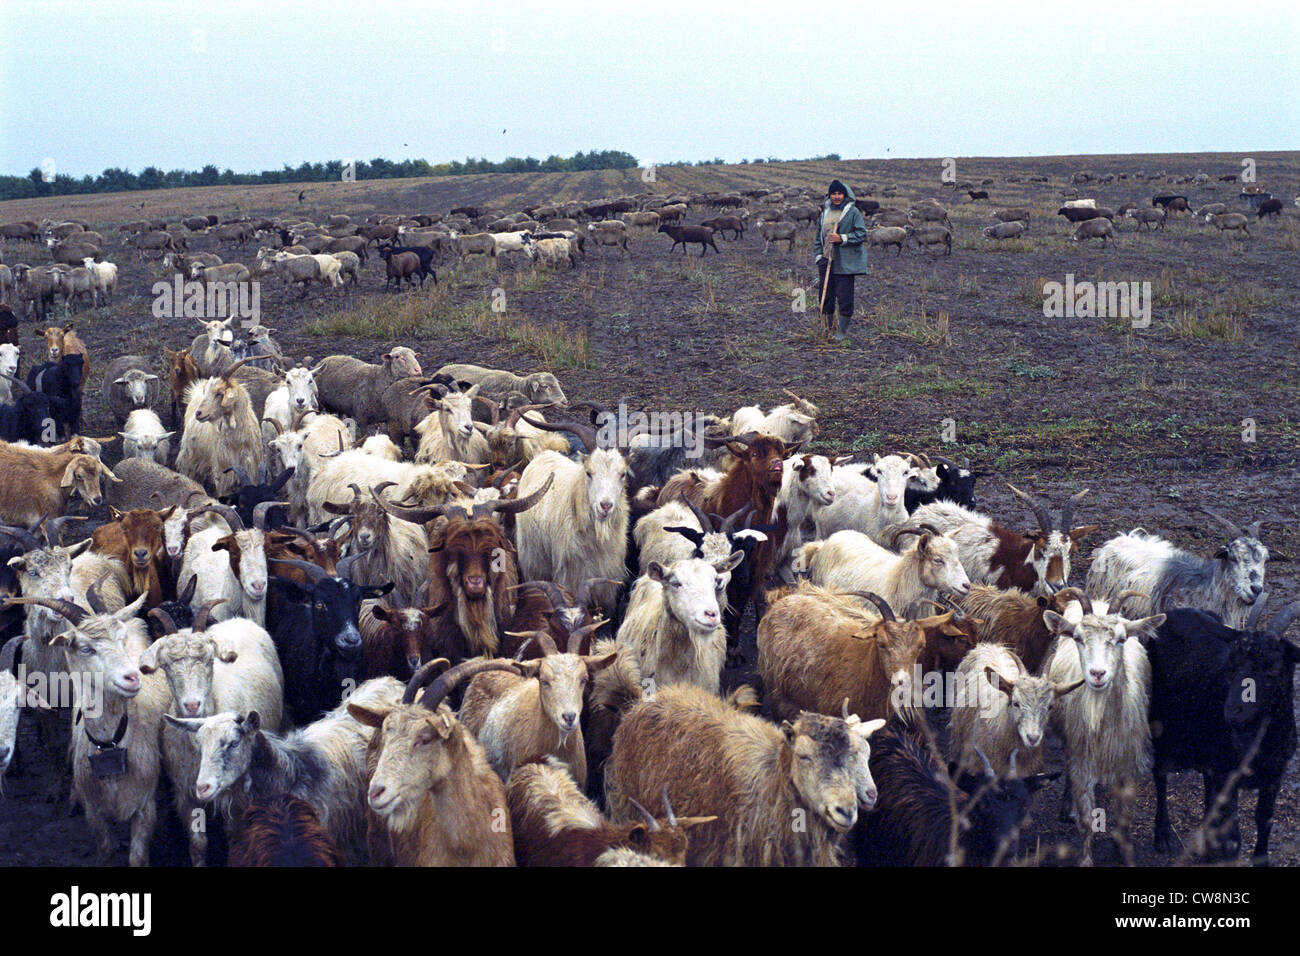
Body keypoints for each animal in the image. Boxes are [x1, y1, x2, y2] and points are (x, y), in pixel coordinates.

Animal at [140, 609, 285, 866]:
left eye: (209, 661)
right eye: (166, 665)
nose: (191, 705)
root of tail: (239, 619)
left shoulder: (236, 795)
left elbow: (234, 835)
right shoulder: (185, 793)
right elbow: (198, 844)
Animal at [175, 361, 264, 498]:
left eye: (219, 393)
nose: (198, 413)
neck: (237, 442)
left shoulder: (251, 468)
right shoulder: (223, 473)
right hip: (189, 458)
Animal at [515, 417, 629, 621]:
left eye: (622, 474)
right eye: (589, 472)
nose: (605, 505)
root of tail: (545, 454)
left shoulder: (607, 587)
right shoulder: (571, 579)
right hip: (532, 560)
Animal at [1045, 594, 1165, 866]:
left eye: (1121, 638)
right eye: (1078, 638)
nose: (1097, 674)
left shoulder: (1127, 765)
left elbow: (1124, 817)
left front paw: (1123, 852)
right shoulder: (1082, 761)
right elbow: (1086, 820)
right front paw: (1086, 860)